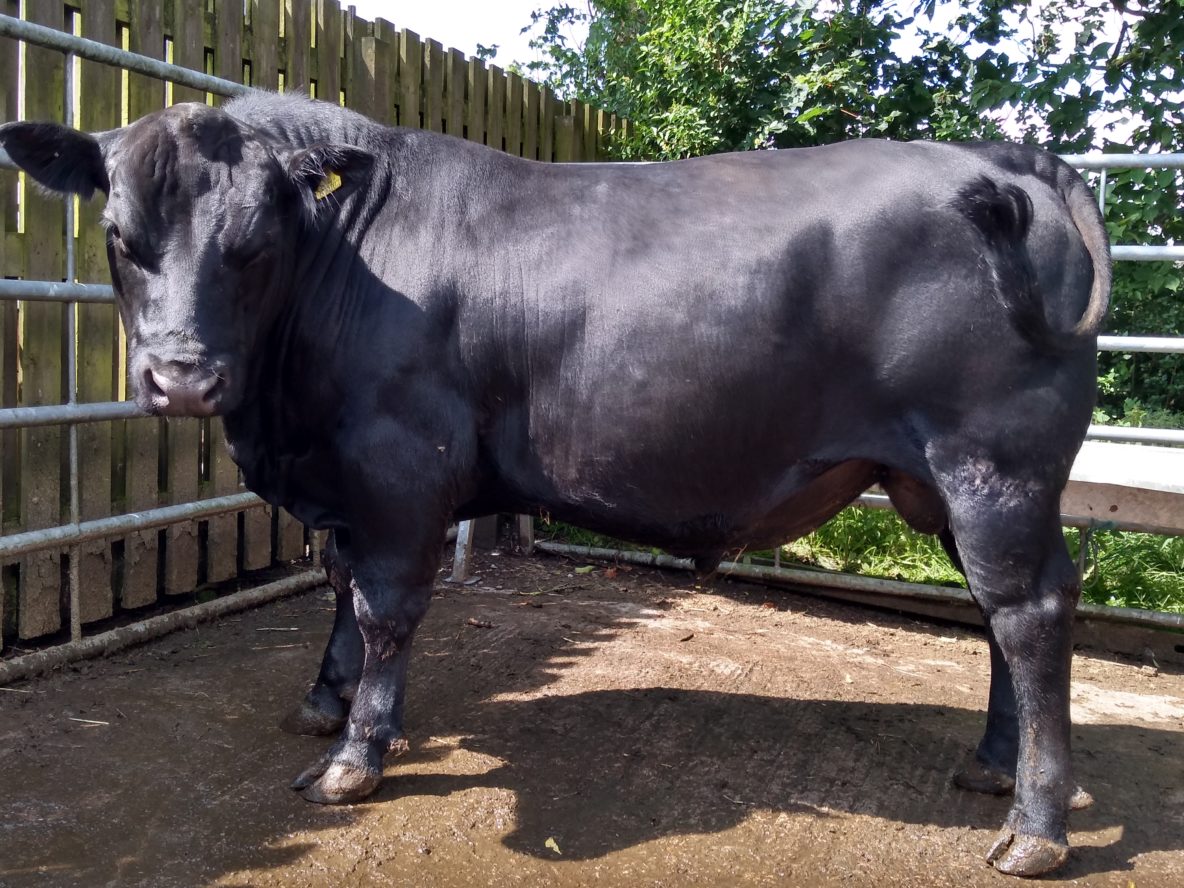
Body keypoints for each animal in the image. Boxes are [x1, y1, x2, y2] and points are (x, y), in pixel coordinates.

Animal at [0, 90, 1110, 877]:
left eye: (254, 243)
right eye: (120, 237)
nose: (182, 377)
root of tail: (998, 157)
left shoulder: (397, 468)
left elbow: (385, 610)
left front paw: (355, 756)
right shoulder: (343, 483)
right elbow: (337, 585)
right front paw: (323, 699)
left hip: (992, 468)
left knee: (1028, 613)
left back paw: (1034, 825)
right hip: (958, 485)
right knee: (1003, 615)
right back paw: (991, 766)